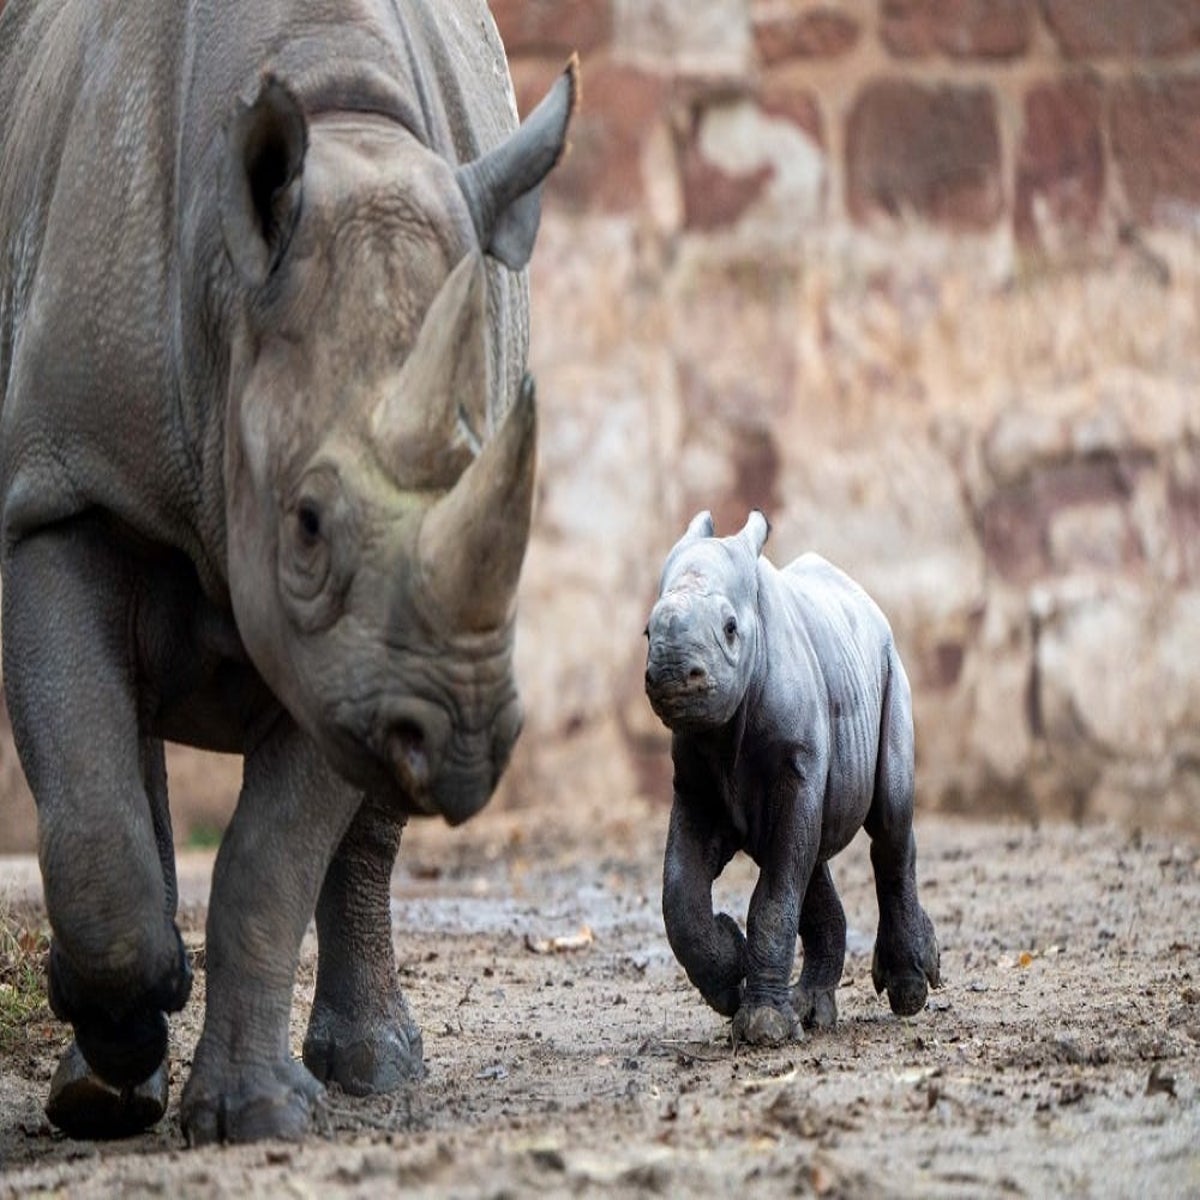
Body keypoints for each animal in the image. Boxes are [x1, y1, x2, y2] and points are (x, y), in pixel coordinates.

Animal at [0, 0, 576, 1144]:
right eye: (307, 525)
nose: (464, 744)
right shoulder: (62, 483)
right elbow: (88, 809)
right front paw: (121, 1045)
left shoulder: (351, 659)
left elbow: (271, 853)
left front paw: (255, 1118)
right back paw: (111, 1074)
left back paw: (373, 1070)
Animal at [644, 512, 941, 1045]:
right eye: (645, 632)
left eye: (731, 629)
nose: (674, 674)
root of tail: (869, 603)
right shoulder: (695, 785)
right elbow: (680, 894)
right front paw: (731, 977)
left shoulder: (796, 768)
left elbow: (774, 896)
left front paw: (764, 1028)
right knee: (808, 855)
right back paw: (813, 1011)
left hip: (890, 667)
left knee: (888, 824)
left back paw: (908, 993)